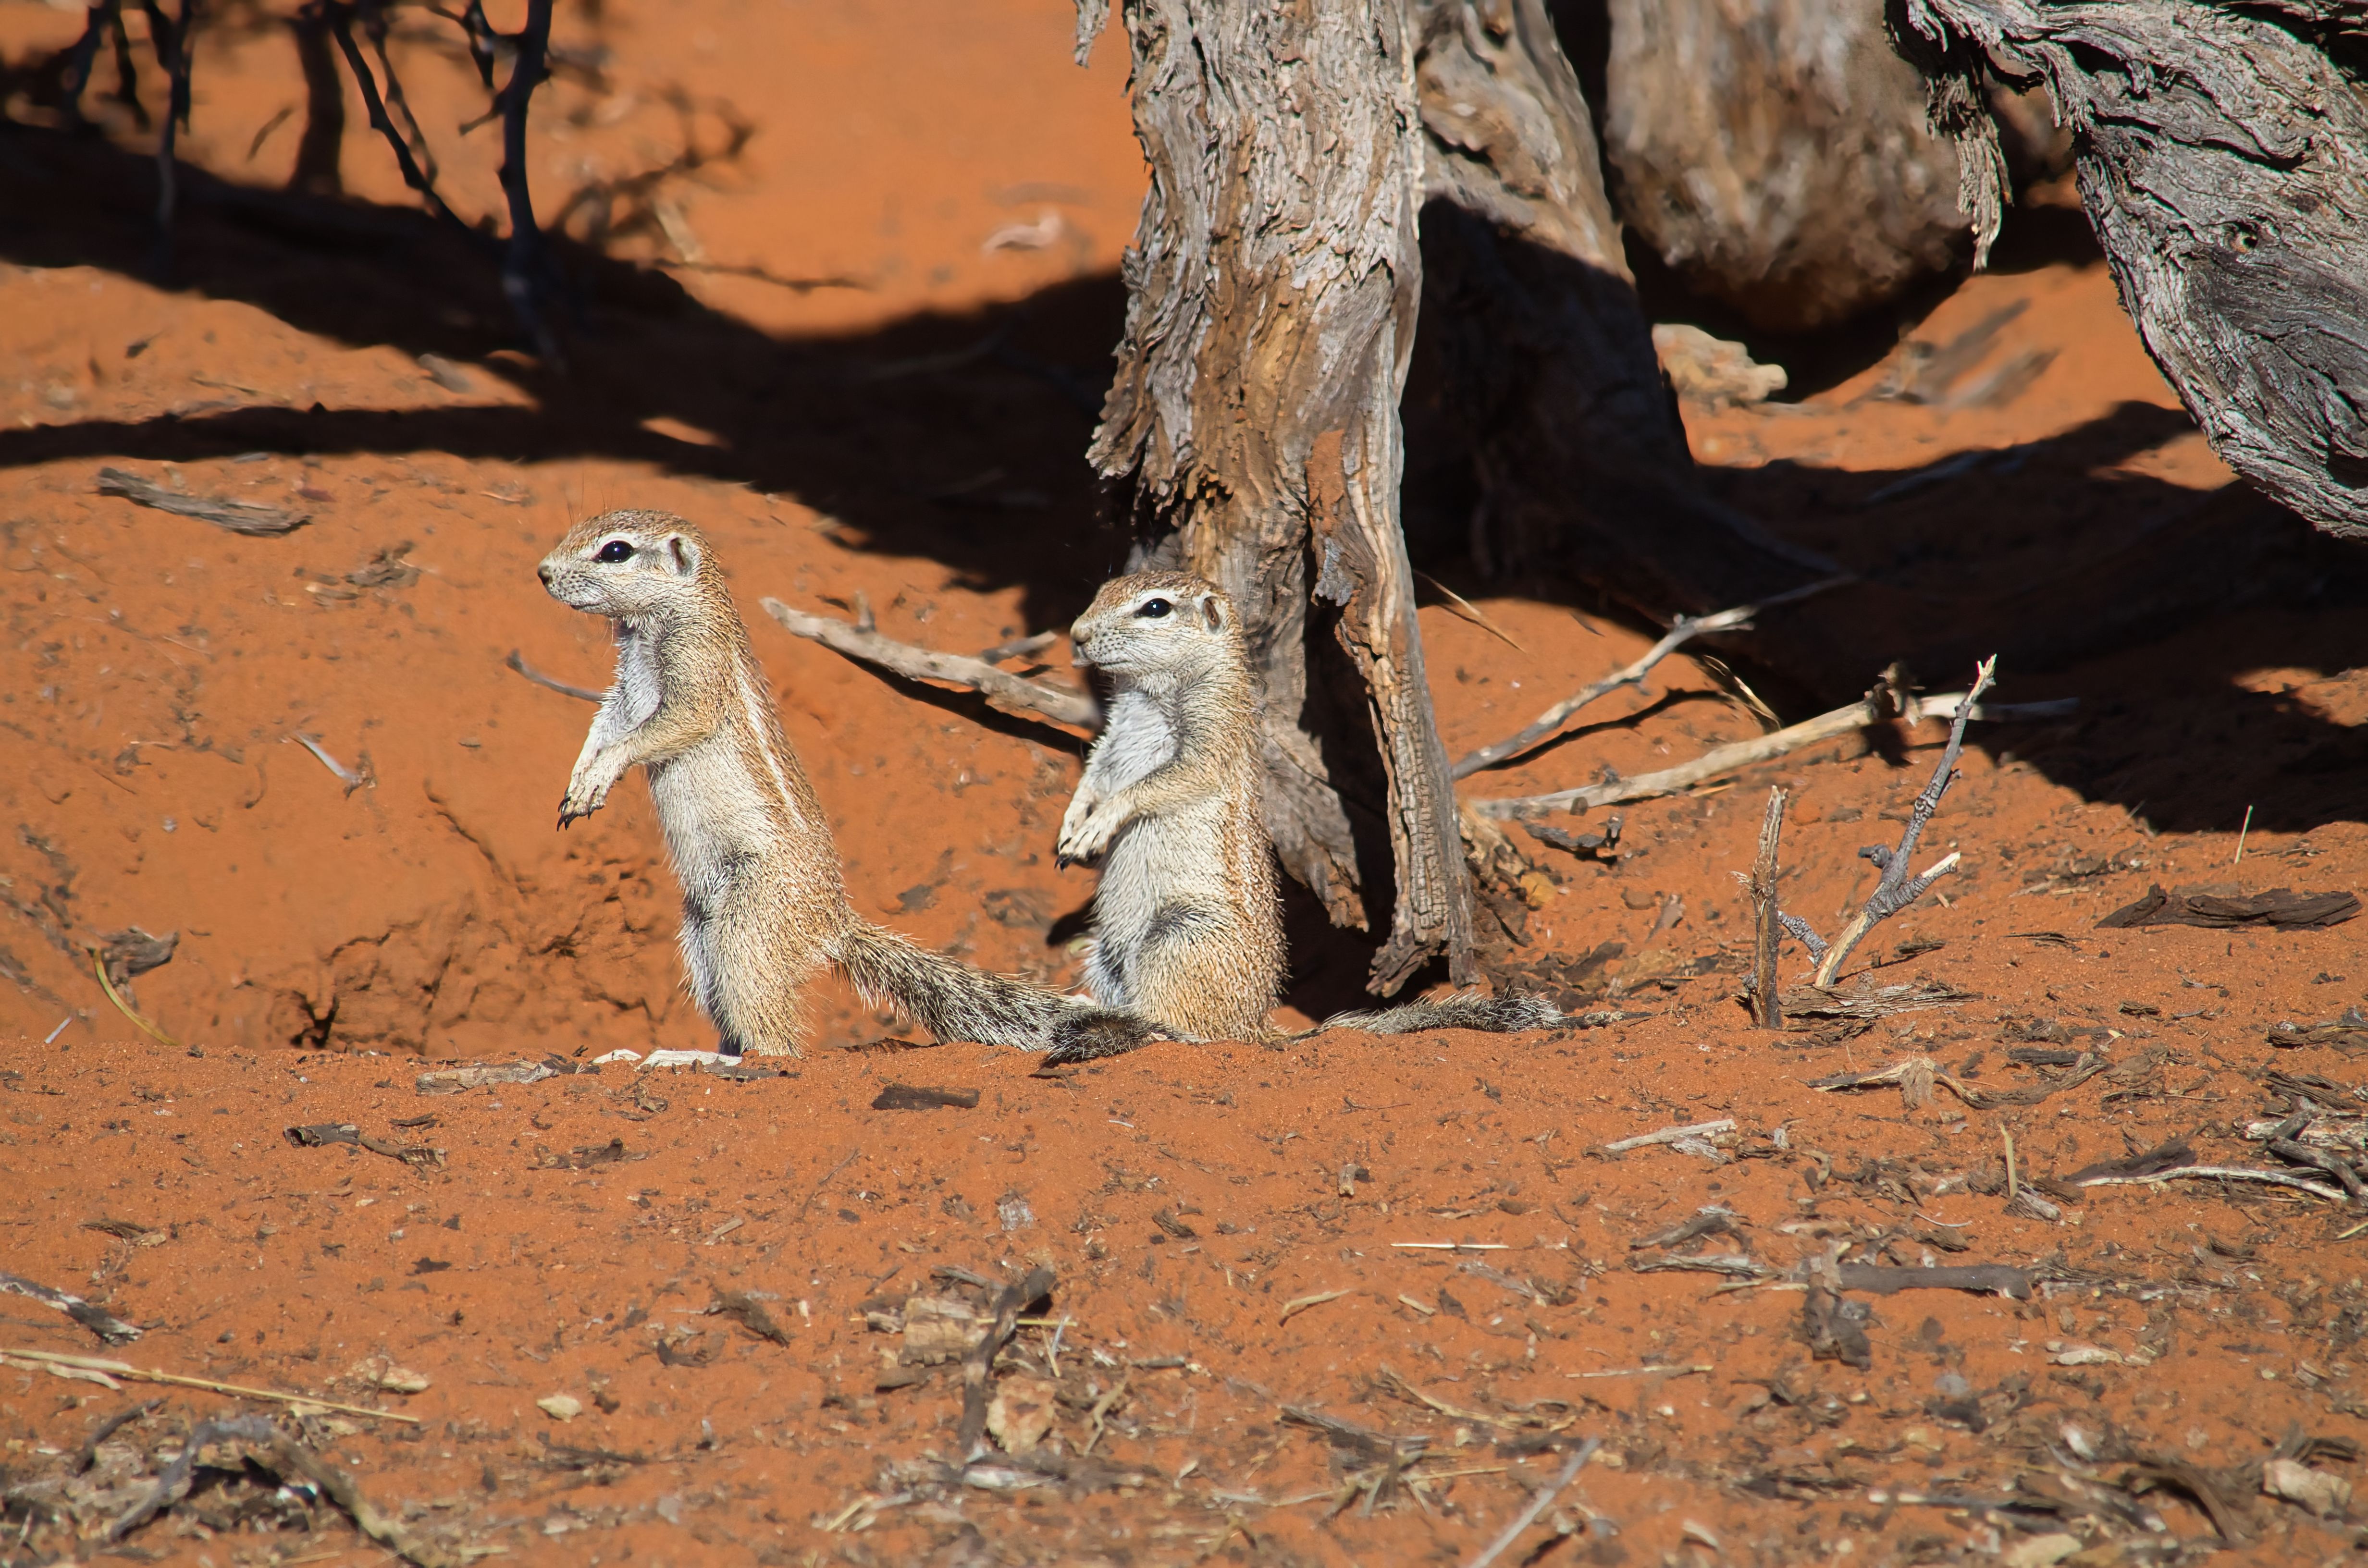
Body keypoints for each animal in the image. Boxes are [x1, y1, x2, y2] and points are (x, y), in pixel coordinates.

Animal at [536, 509, 1158, 1060]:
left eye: (615, 550)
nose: (542, 572)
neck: (654, 624)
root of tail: (829, 924)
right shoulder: (624, 690)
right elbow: (605, 726)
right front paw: (579, 781)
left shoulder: (697, 670)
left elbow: (664, 727)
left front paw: (602, 774)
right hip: (698, 931)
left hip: (749, 920)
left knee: (779, 1045)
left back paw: (704, 1059)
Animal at [1048, 570, 1562, 1061]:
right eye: (1104, 589)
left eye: (1155, 608)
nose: (1077, 635)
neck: (1146, 694)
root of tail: (1255, 1026)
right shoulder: (1113, 736)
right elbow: (1095, 772)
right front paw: (1073, 822)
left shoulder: (1210, 740)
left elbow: (1156, 784)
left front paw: (1097, 824)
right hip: (1106, 952)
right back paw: (1090, 1004)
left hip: (1179, 936)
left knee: (1194, 1030)